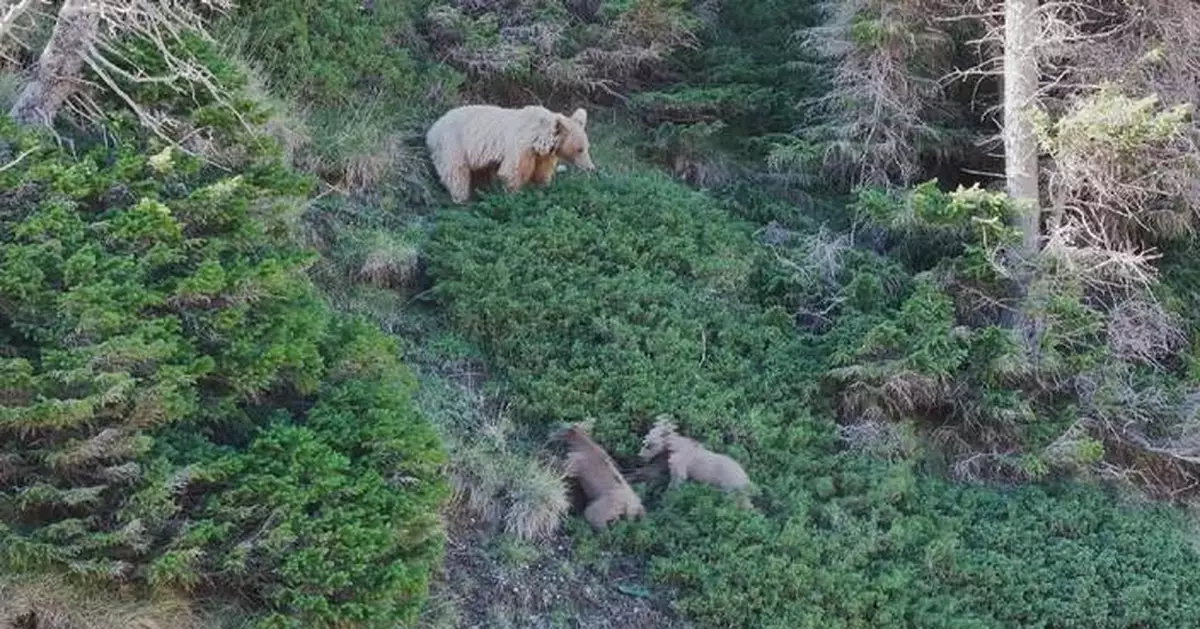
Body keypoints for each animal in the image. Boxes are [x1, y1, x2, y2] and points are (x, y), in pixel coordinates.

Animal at [425, 104, 596, 204]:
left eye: (587, 147)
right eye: (580, 149)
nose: (590, 168)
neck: (538, 136)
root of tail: (432, 130)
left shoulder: (542, 155)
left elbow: (541, 171)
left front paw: (542, 188)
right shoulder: (521, 146)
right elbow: (513, 171)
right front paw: (515, 195)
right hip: (453, 145)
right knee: (456, 172)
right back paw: (461, 198)